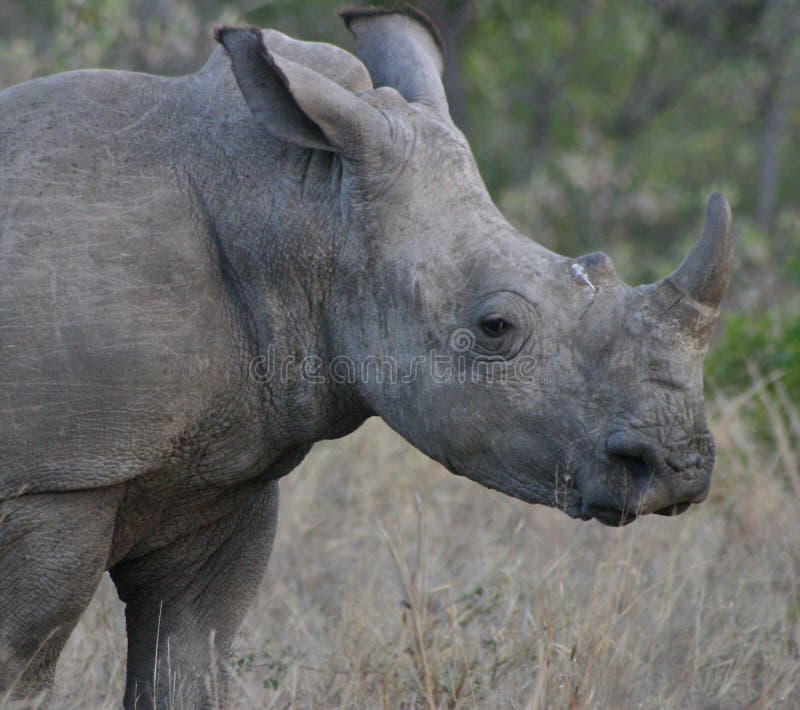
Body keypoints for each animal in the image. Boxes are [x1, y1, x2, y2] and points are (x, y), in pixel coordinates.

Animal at [0, 6, 733, 708]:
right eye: (495, 327)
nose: (680, 469)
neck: (297, 205)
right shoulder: (56, 479)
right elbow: (20, 666)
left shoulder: (226, 475)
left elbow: (187, 661)